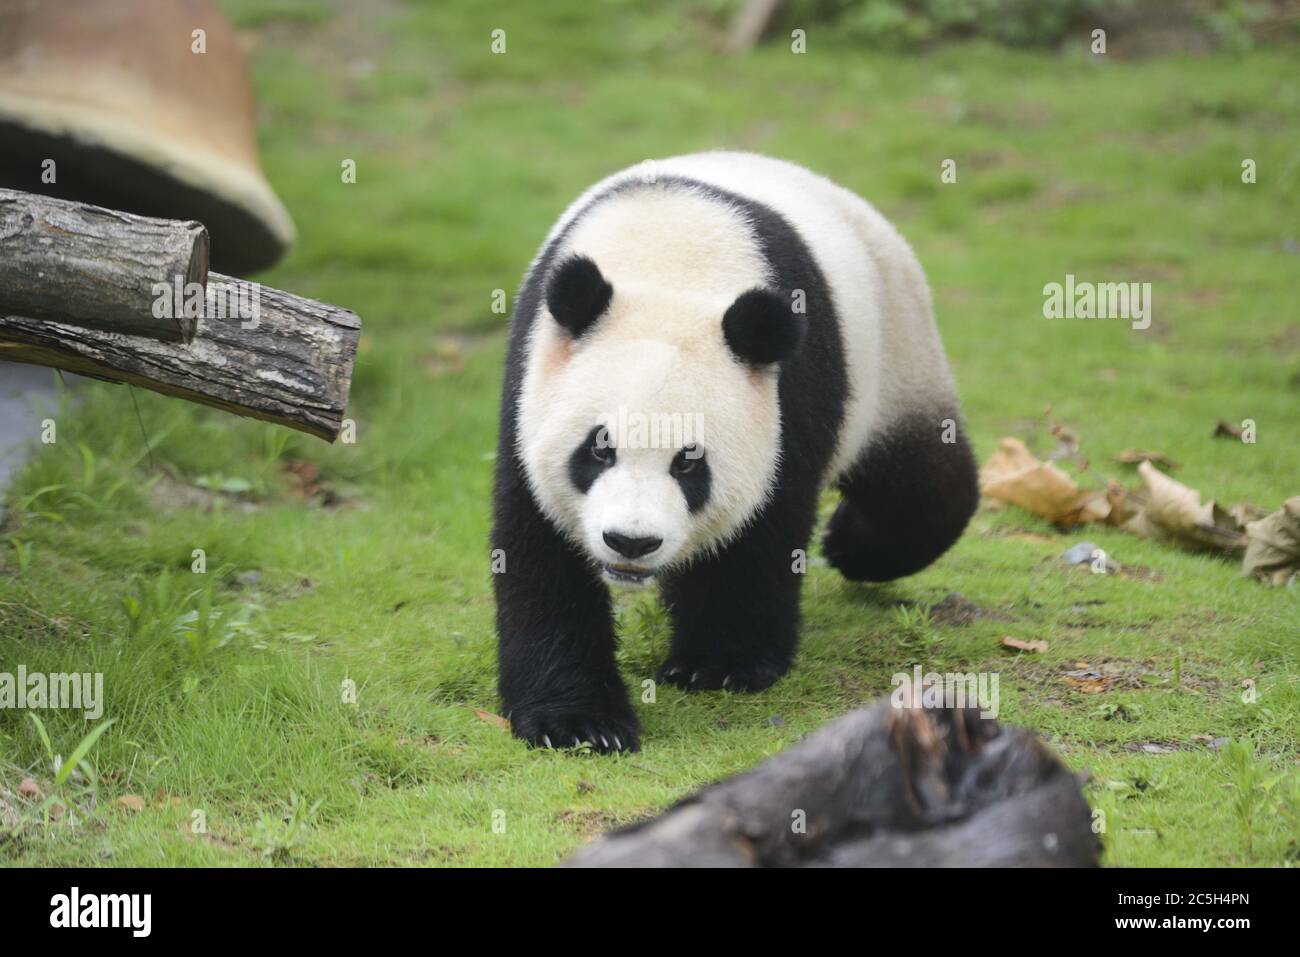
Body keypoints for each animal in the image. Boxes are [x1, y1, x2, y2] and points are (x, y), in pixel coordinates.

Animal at [492, 151, 978, 753]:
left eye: (688, 462)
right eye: (599, 450)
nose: (631, 542)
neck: (669, 254)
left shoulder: (790, 392)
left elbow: (759, 532)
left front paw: (719, 664)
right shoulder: (532, 386)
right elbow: (539, 551)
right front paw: (580, 722)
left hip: (896, 352)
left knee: (919, 482)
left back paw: (850, 542)